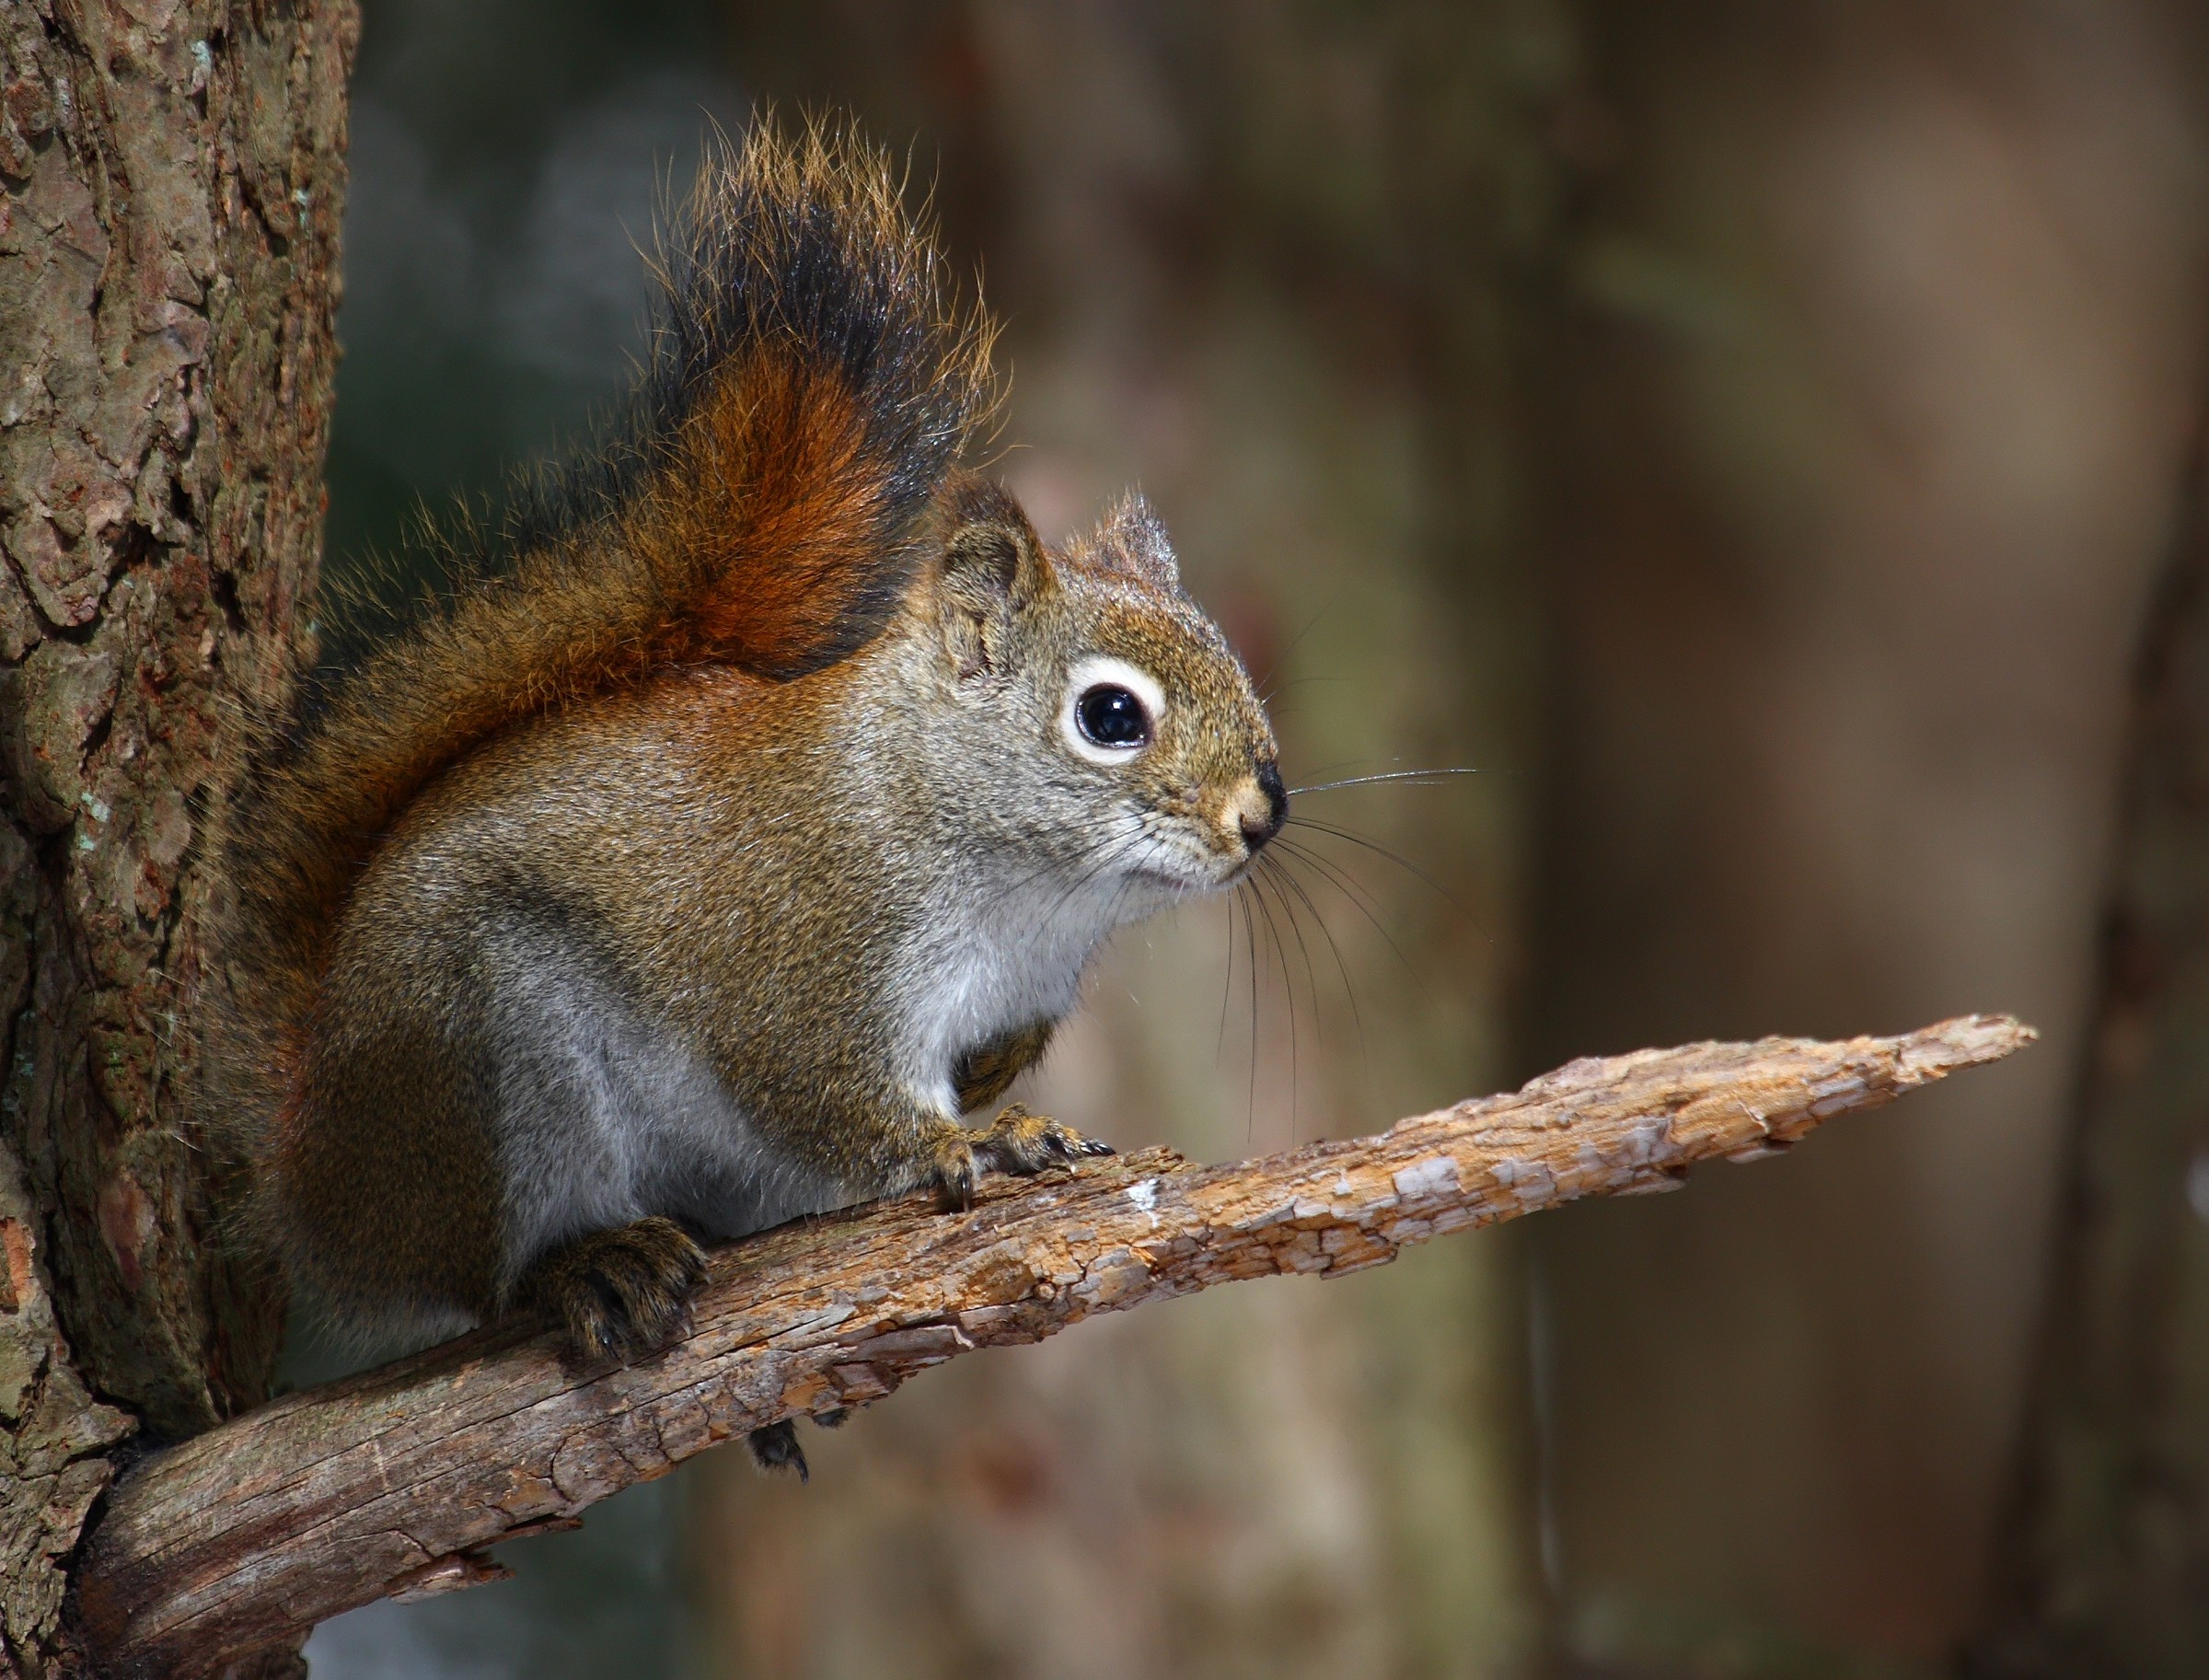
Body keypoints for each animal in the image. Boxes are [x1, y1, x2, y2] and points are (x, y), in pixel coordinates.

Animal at [215, 122, 1284, 1472]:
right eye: (1110, 717)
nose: (1263, 815)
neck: (1022, 885)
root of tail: (316, 1170)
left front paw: (1007, 1091)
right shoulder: (803, 953)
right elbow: (825, 1091)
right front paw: (974, 1139)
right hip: (486, 1058)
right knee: (488, 1274)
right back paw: (590, 1264)